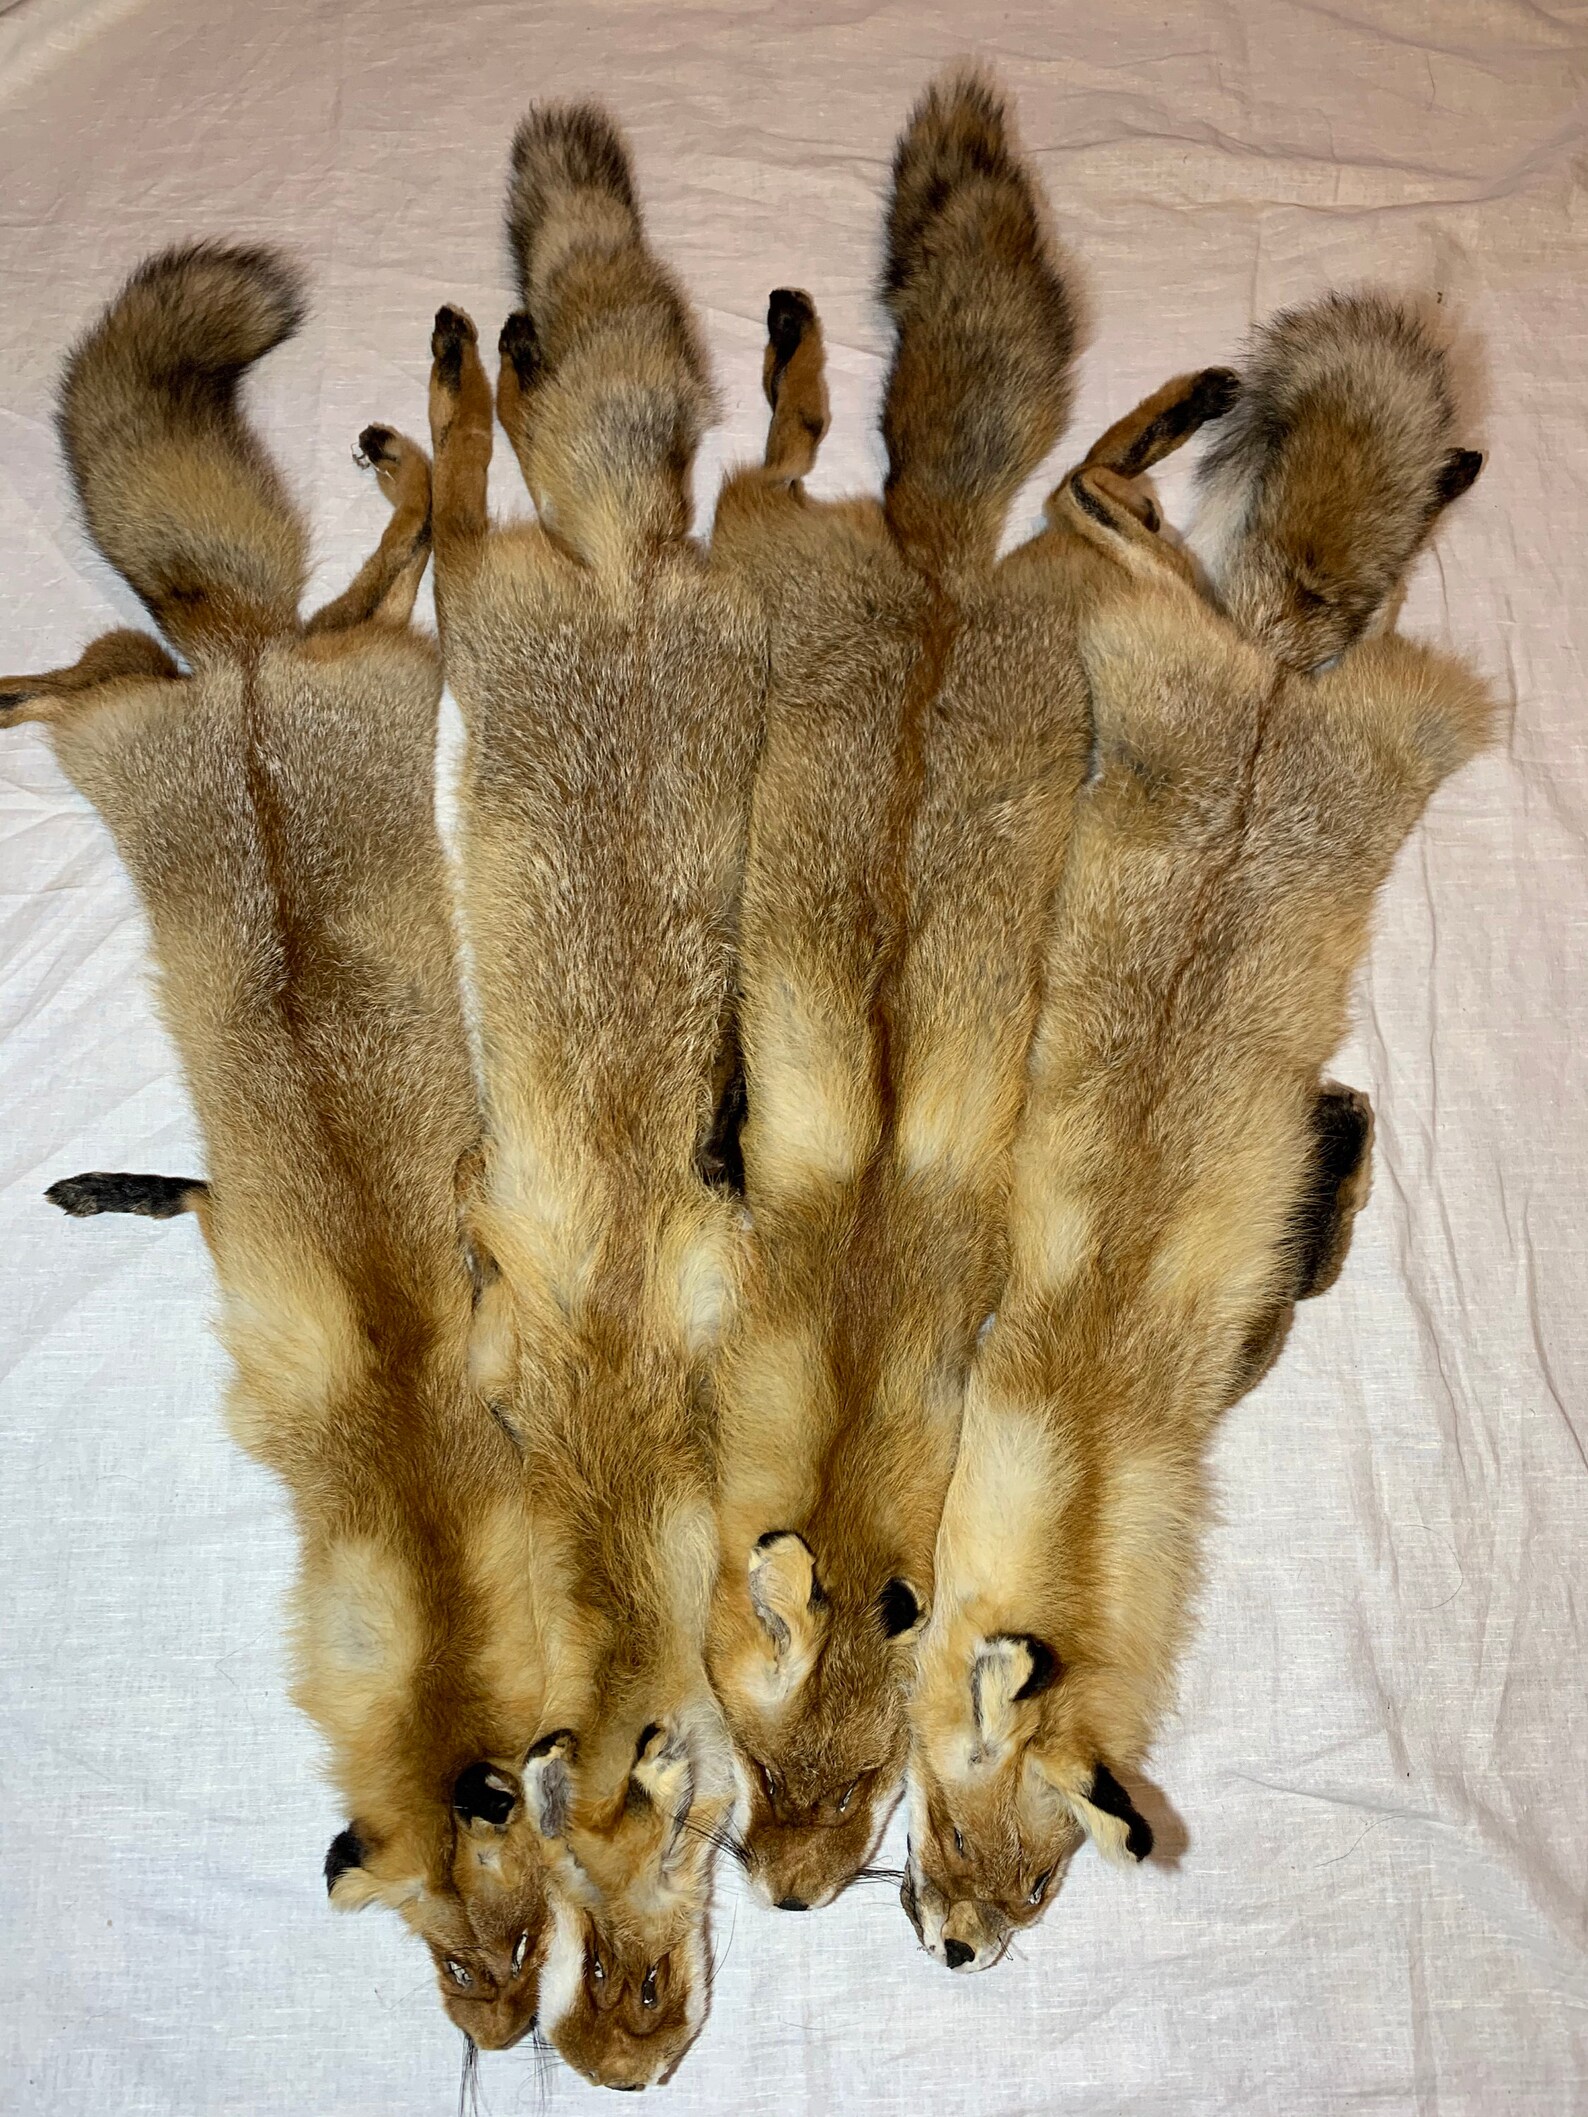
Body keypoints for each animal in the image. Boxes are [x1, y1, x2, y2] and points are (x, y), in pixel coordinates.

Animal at [0, 244, 573, 2051]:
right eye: (456, 1965)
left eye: (524, 1945)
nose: (505, 2049)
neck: (404, 1480)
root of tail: (247, 678)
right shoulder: (249, 1270)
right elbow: (172, 1192)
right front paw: (96, 1184)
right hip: (229, 699)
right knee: (177, 630)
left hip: (339, 678)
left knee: (359, 574)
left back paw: (429, 421)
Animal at [704, 69, 1241, 1913]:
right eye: (757, 1770)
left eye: (866, 1787)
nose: (791, 1902)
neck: (858, 1325)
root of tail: (941, 571)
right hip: (814, 573)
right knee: (833, 464)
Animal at [902, 291, 1490, 1972]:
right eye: (944, 1824)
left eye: (1034, 1888)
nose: (957, 1956)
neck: (1094, 1428)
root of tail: (1276, 679)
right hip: (1169, 643)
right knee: (1095, 493)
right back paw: (1201, 420)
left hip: (1364, 705)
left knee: (1208, 543)